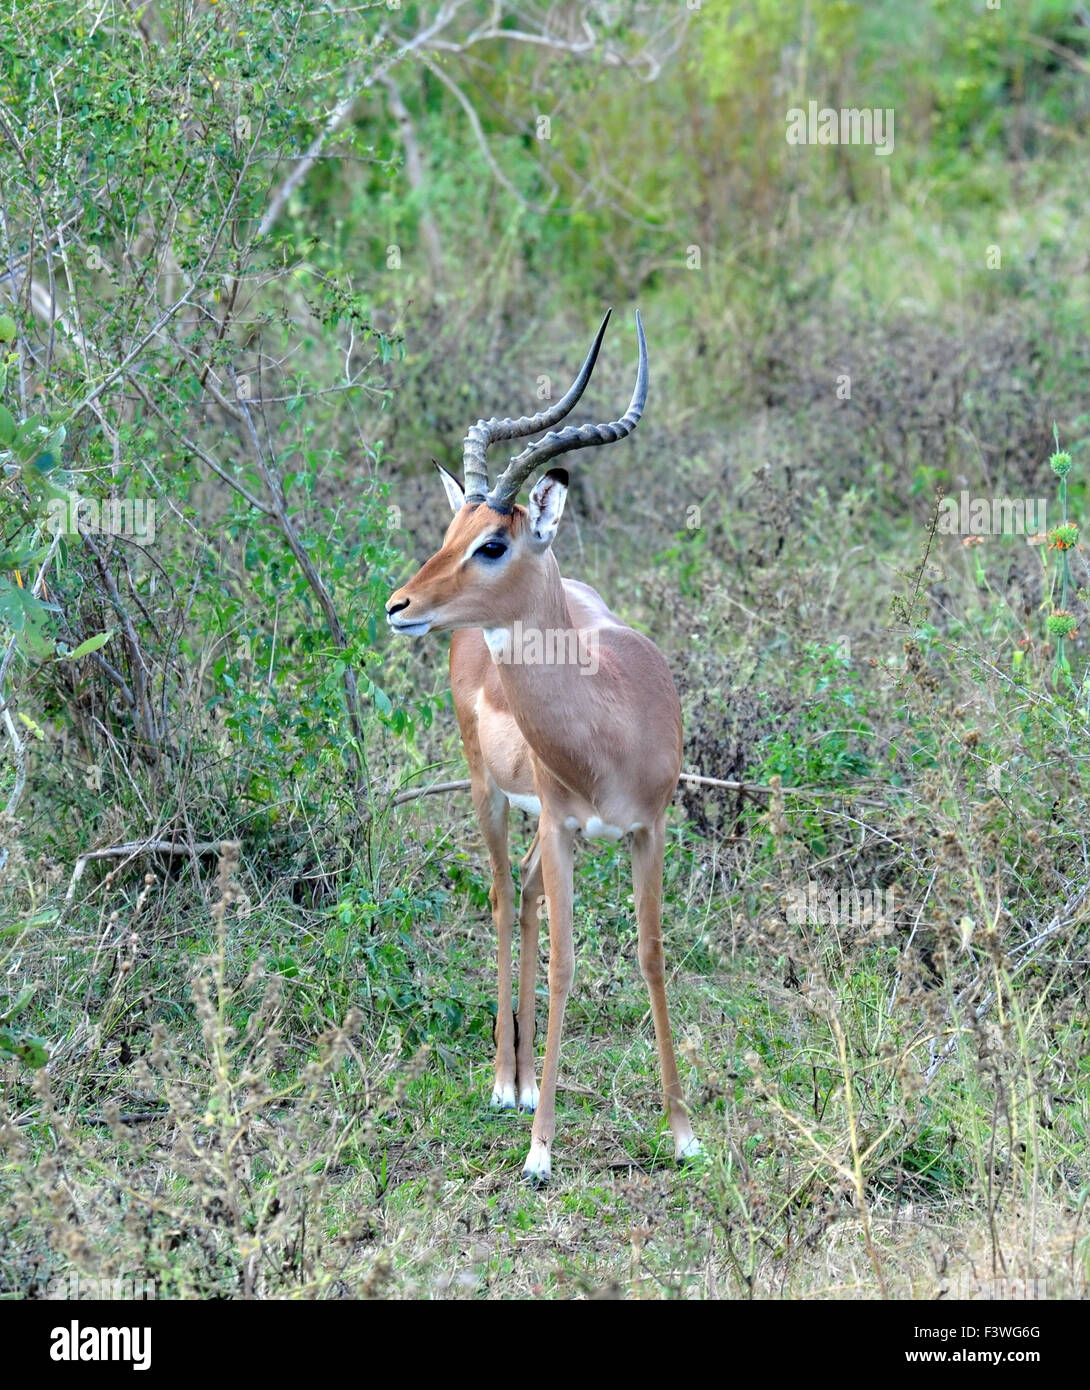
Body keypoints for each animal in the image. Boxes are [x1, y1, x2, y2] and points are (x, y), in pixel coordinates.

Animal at [386, 310, 699, 1183]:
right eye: (452, 528)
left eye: (492, 543)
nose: (399, 605)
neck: (610, 718)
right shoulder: (562, 826)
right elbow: (565, 968)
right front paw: (540, 1151)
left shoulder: (646, 829)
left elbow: (651, 954)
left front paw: (683, 1132)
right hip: (489, 796)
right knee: (501, 896)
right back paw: (505, 1083)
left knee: (521, 895)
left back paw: (525, 1082)